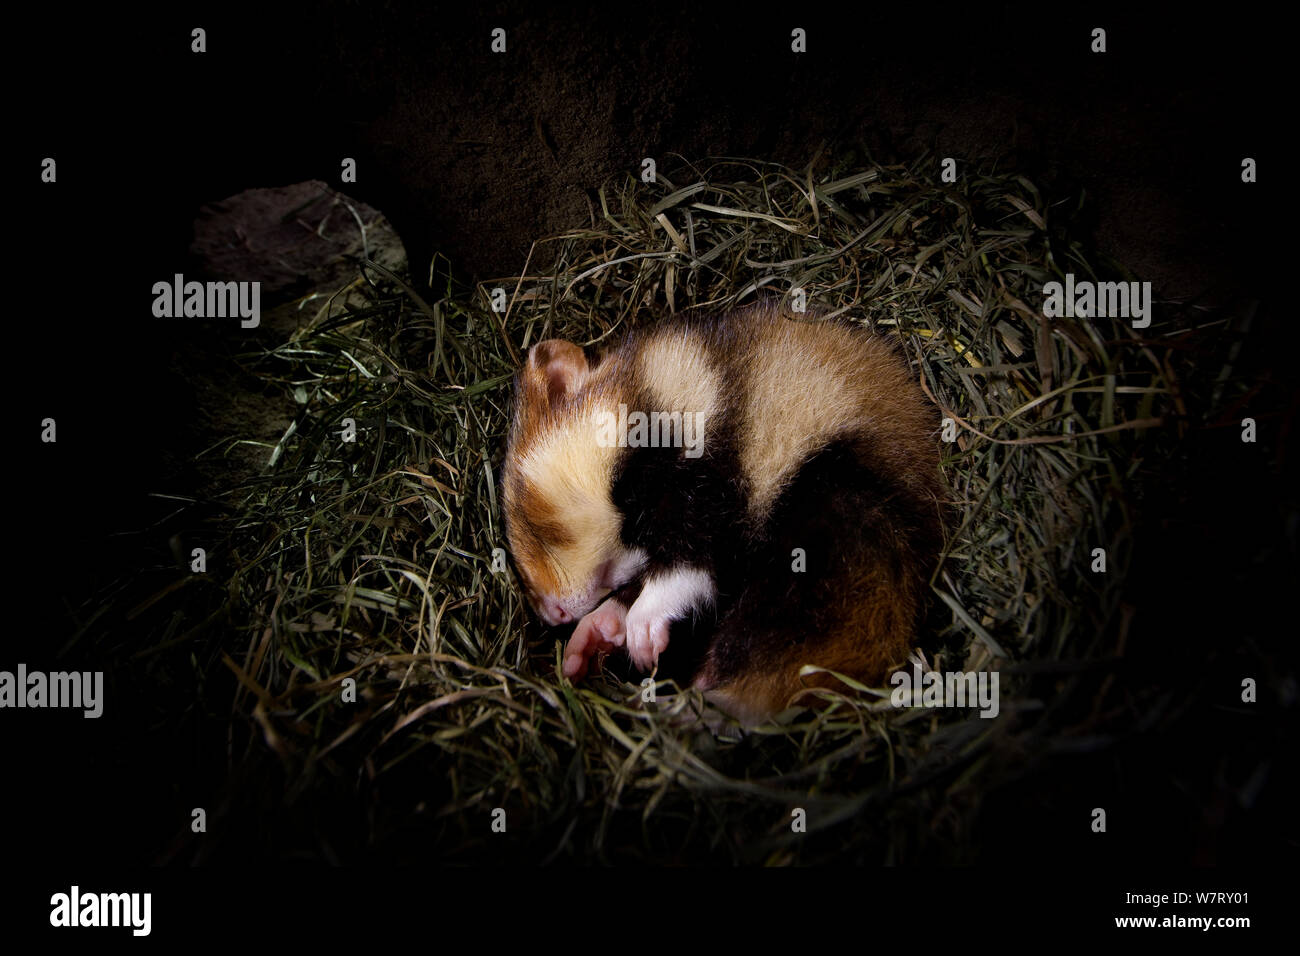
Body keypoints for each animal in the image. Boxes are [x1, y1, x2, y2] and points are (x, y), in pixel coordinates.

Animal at [501, 299, 943, 724]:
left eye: (532, 515)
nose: (550, 618)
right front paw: (583, 653)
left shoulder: (710, 501)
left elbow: (679, 573)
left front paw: (642, 645)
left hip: (822, 542)